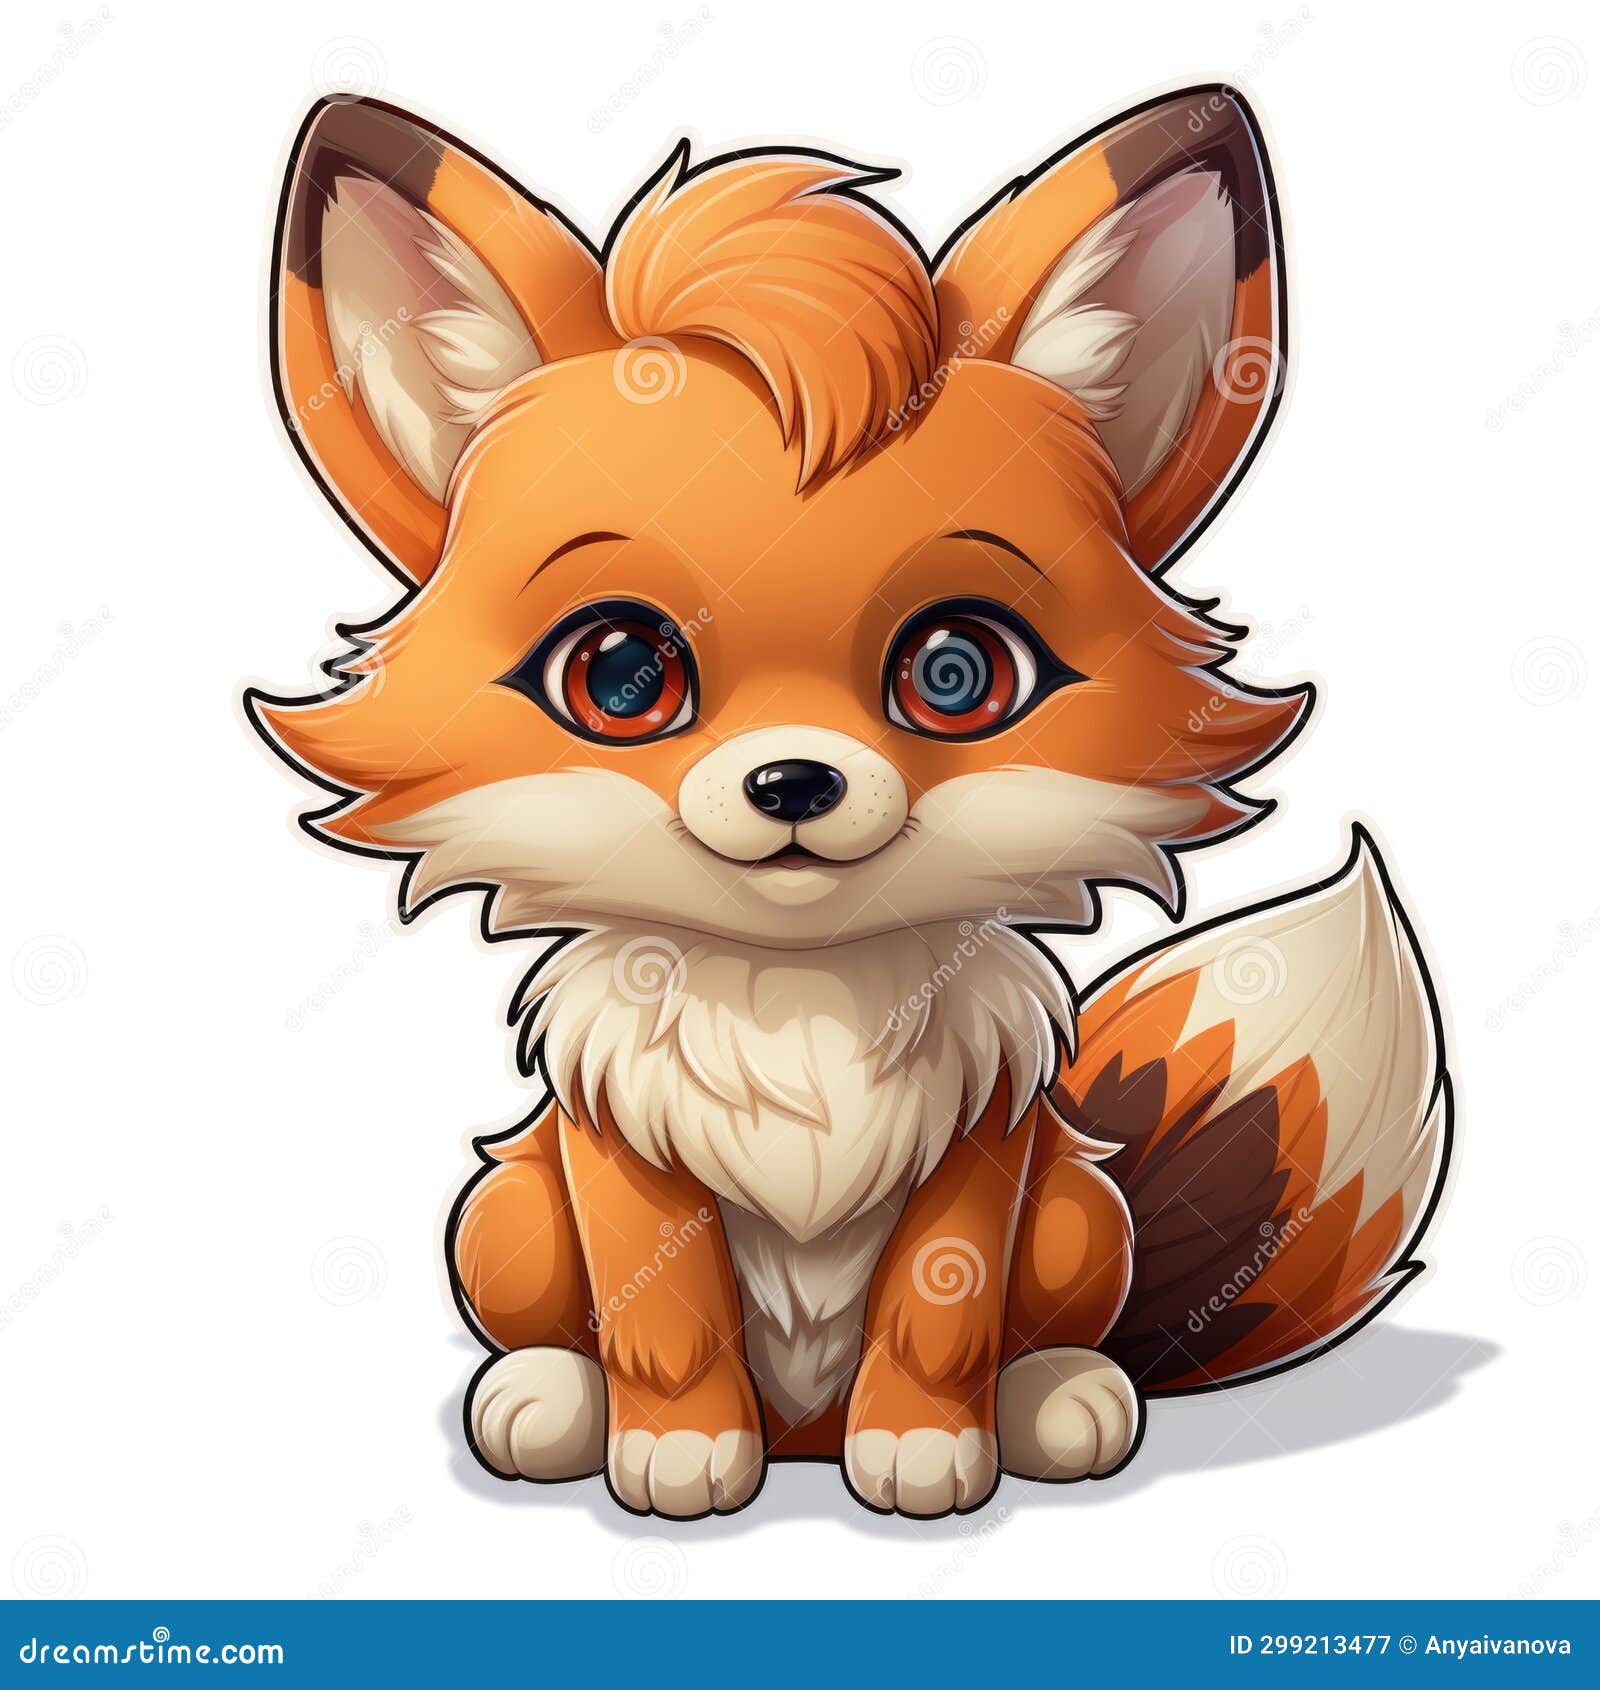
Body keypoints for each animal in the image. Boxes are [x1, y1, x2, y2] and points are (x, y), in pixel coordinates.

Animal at [248, 87, 1451, 1519]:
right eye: (621, 673)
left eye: (956, 672)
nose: (793, 779)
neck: (795, 999)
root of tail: (802, 1435)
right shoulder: (620, 1155)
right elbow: (668, 1313)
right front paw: (678, 1449)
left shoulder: (987, 1148)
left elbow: (940, 1309)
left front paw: (928, 1446)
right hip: (511, 1215)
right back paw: (552, 1399)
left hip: (1077, 1212)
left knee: (1047, 1322)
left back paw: (1055, 1397)